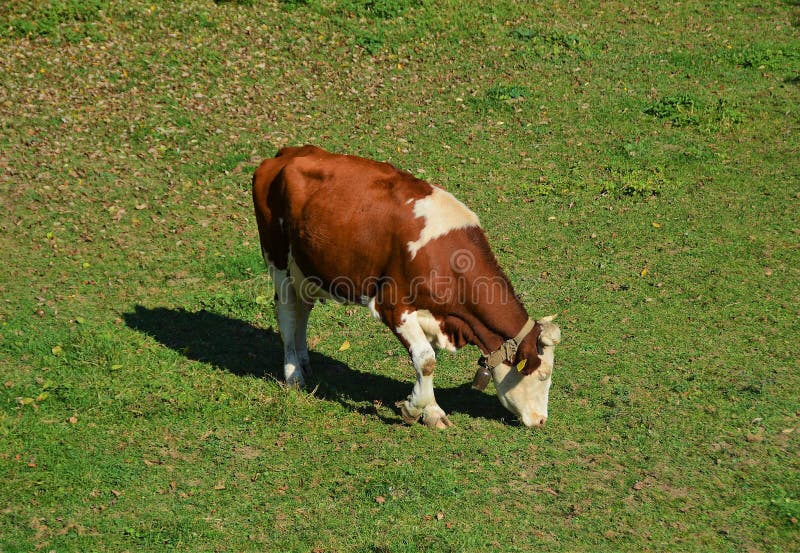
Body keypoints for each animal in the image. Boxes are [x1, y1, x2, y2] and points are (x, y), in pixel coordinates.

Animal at [252, 145, 561, 428]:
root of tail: (287, 153)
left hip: (308, 269)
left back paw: (304, 362)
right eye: (542, 375)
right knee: (287, 314)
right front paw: (416, 409)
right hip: (277, 259)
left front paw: (431, 410)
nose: (541, 420)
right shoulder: (391, 305)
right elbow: (426, 360)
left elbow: (427, 359)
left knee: (302, 311)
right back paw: (294, 376)